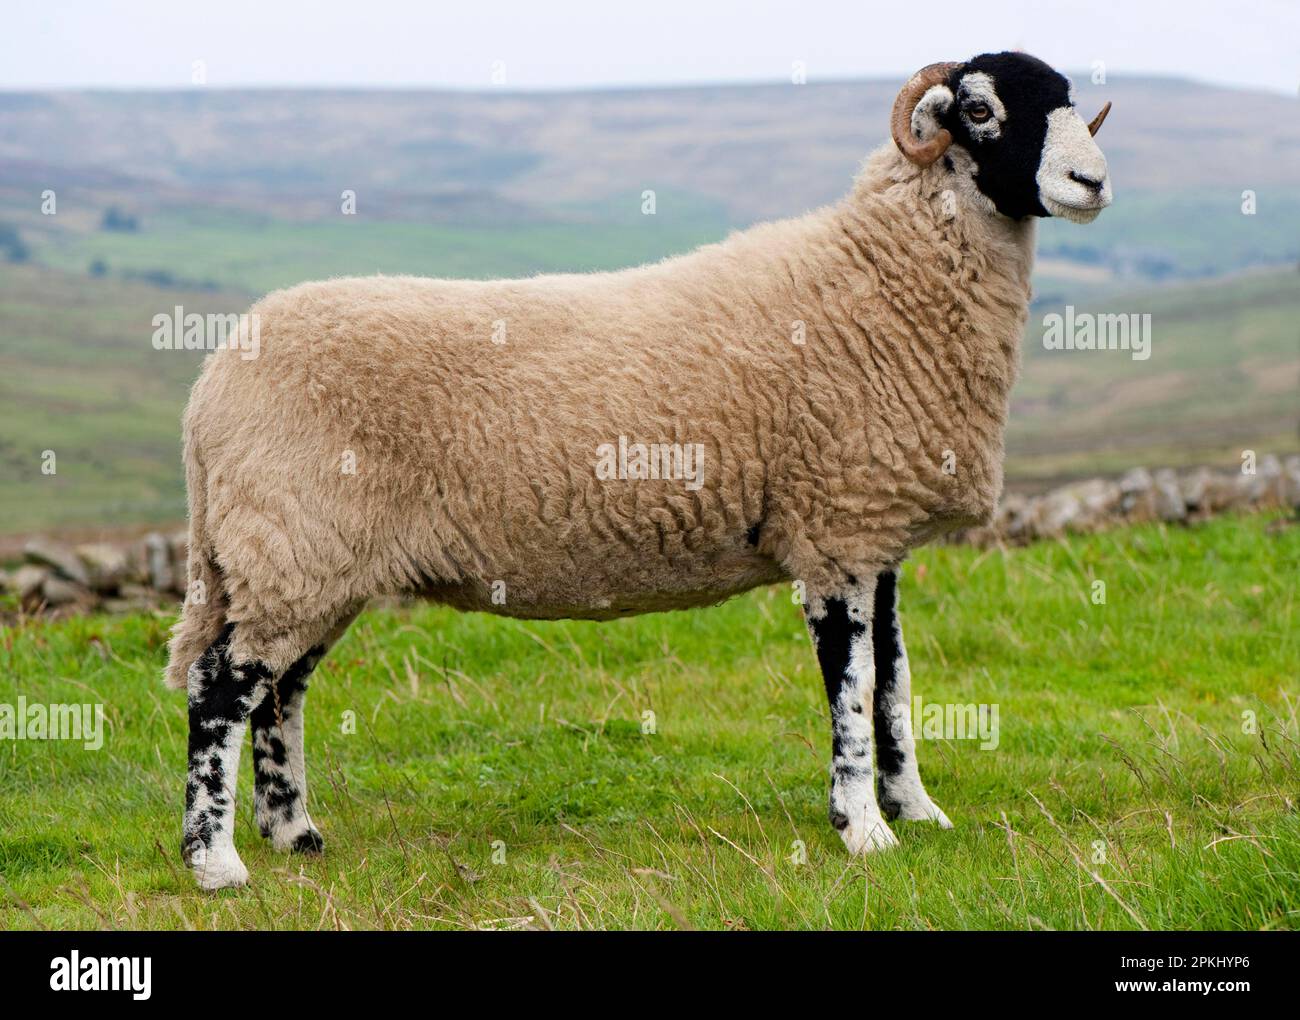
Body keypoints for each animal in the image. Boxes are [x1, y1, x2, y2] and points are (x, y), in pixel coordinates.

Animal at [166, 51, 1113, 889]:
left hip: (310, 559)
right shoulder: (836, 529)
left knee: (281, 692)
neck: (880, 277)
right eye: (981, 109)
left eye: (1071, 100)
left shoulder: (875, 535)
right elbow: (854, 686)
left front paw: (916, 810)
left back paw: (293, 833)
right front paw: (862, 831)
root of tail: (210, 388)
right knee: (221, 688)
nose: (1093, 183)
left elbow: (895, 683)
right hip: (290, 538)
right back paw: (216, 863)